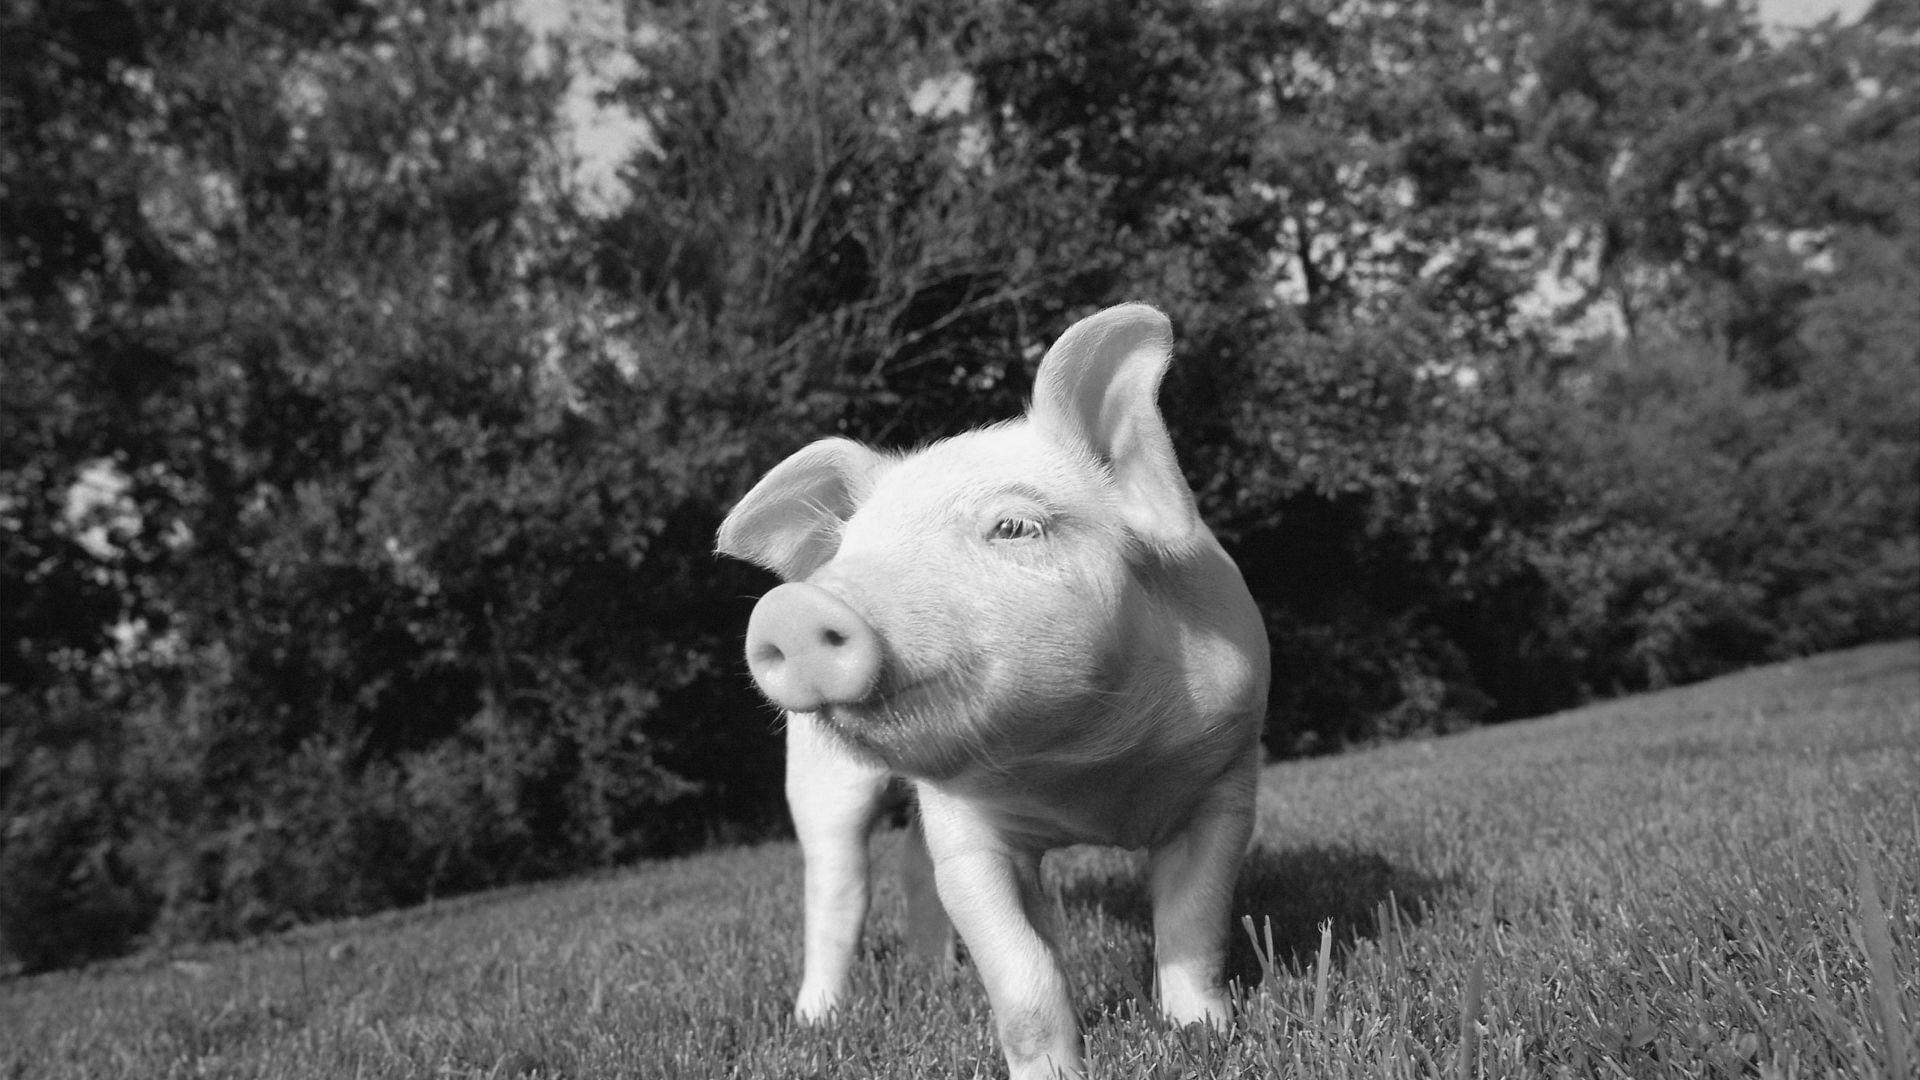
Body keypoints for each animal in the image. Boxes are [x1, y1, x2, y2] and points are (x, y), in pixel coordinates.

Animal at [715, 303, 1269, 1079]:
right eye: (852, 548)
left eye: (1014, 526)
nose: (792, 608)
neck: (1088, 775)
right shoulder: (970, 834)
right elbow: (1022, 974)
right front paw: (1056, 1072)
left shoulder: (1227, 774)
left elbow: (1196, 927)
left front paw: (1201, 1037)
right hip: (819, 776)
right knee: (836, 888)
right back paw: (817, 1022)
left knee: (910, 867)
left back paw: (937, 977)